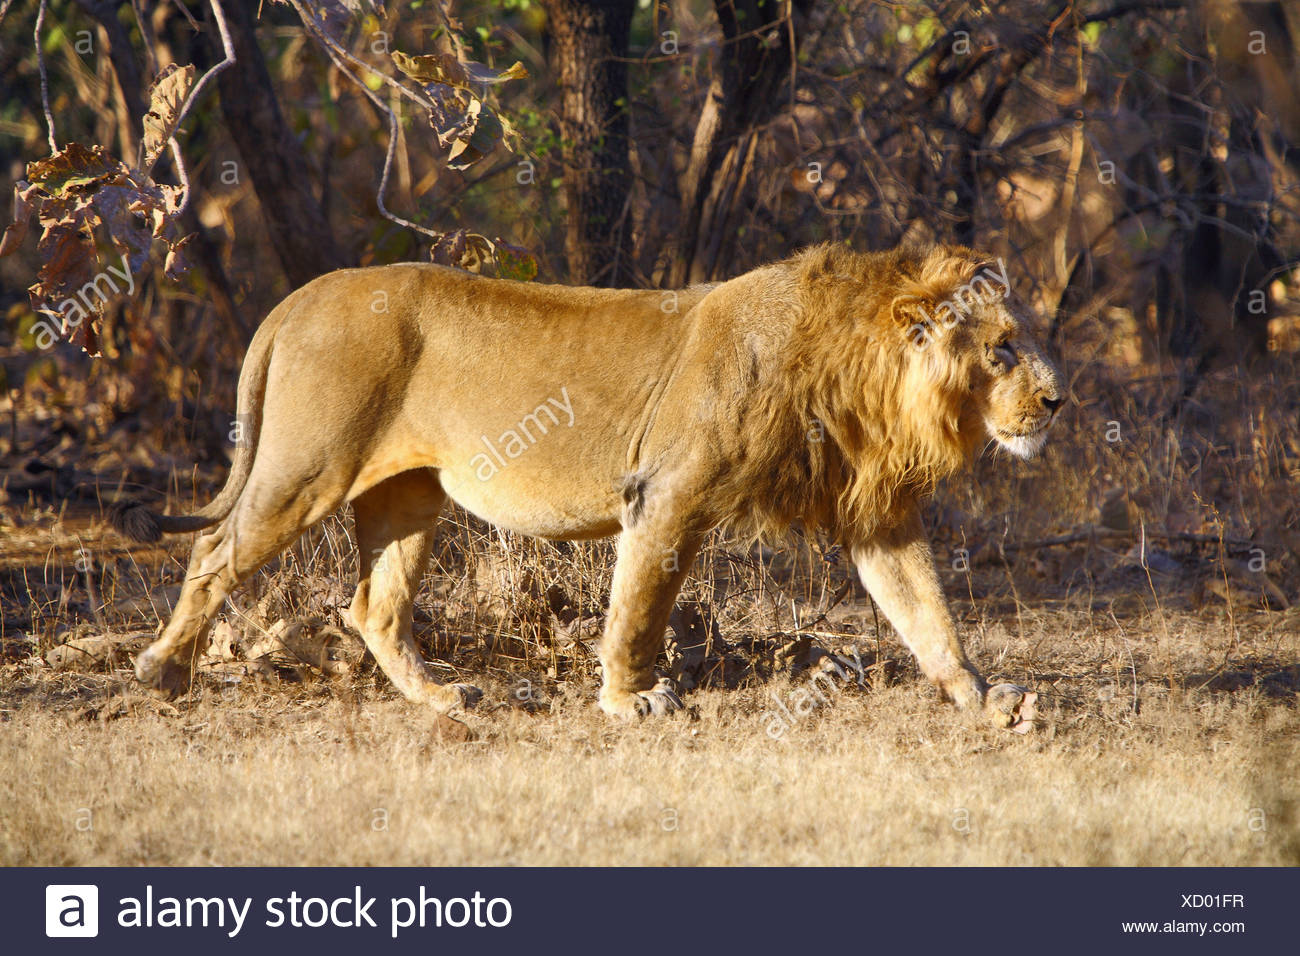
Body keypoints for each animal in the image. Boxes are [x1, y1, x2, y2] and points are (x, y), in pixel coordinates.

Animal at [110, 242, 1063, 731]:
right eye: (1003, 349)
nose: (1058, 399)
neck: (858, 378)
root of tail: (299, 296)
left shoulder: (875, 518)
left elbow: (927, 611)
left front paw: (985, 697)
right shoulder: (668, 495)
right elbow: (637, 610)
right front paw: (630, 699)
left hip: (409, 496)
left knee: (374, 607)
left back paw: (446, 699)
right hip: (308, 470)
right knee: (214, 549)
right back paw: (161, 672)